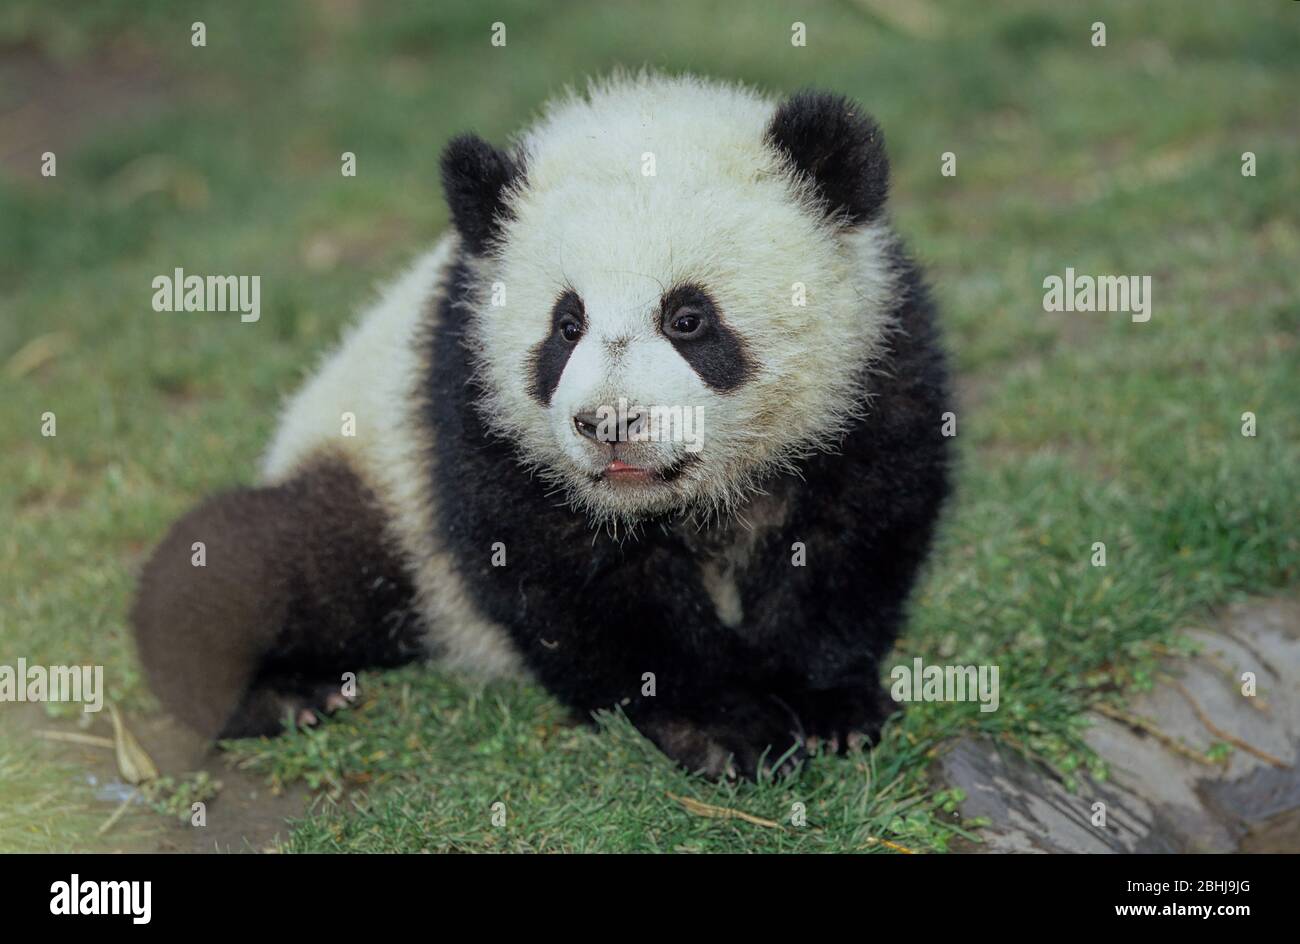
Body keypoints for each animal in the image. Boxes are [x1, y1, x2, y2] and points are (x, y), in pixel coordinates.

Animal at [132, 72, 952, 780]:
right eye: (567, 326)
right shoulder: (475, 404)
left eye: (688, 318)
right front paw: (728, 726)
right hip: (380, 491)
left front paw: (828, 706)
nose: (608, 422)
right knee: (255, 562)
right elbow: (580, 585)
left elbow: (850, 531)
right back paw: (276, 694)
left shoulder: (873, 365)